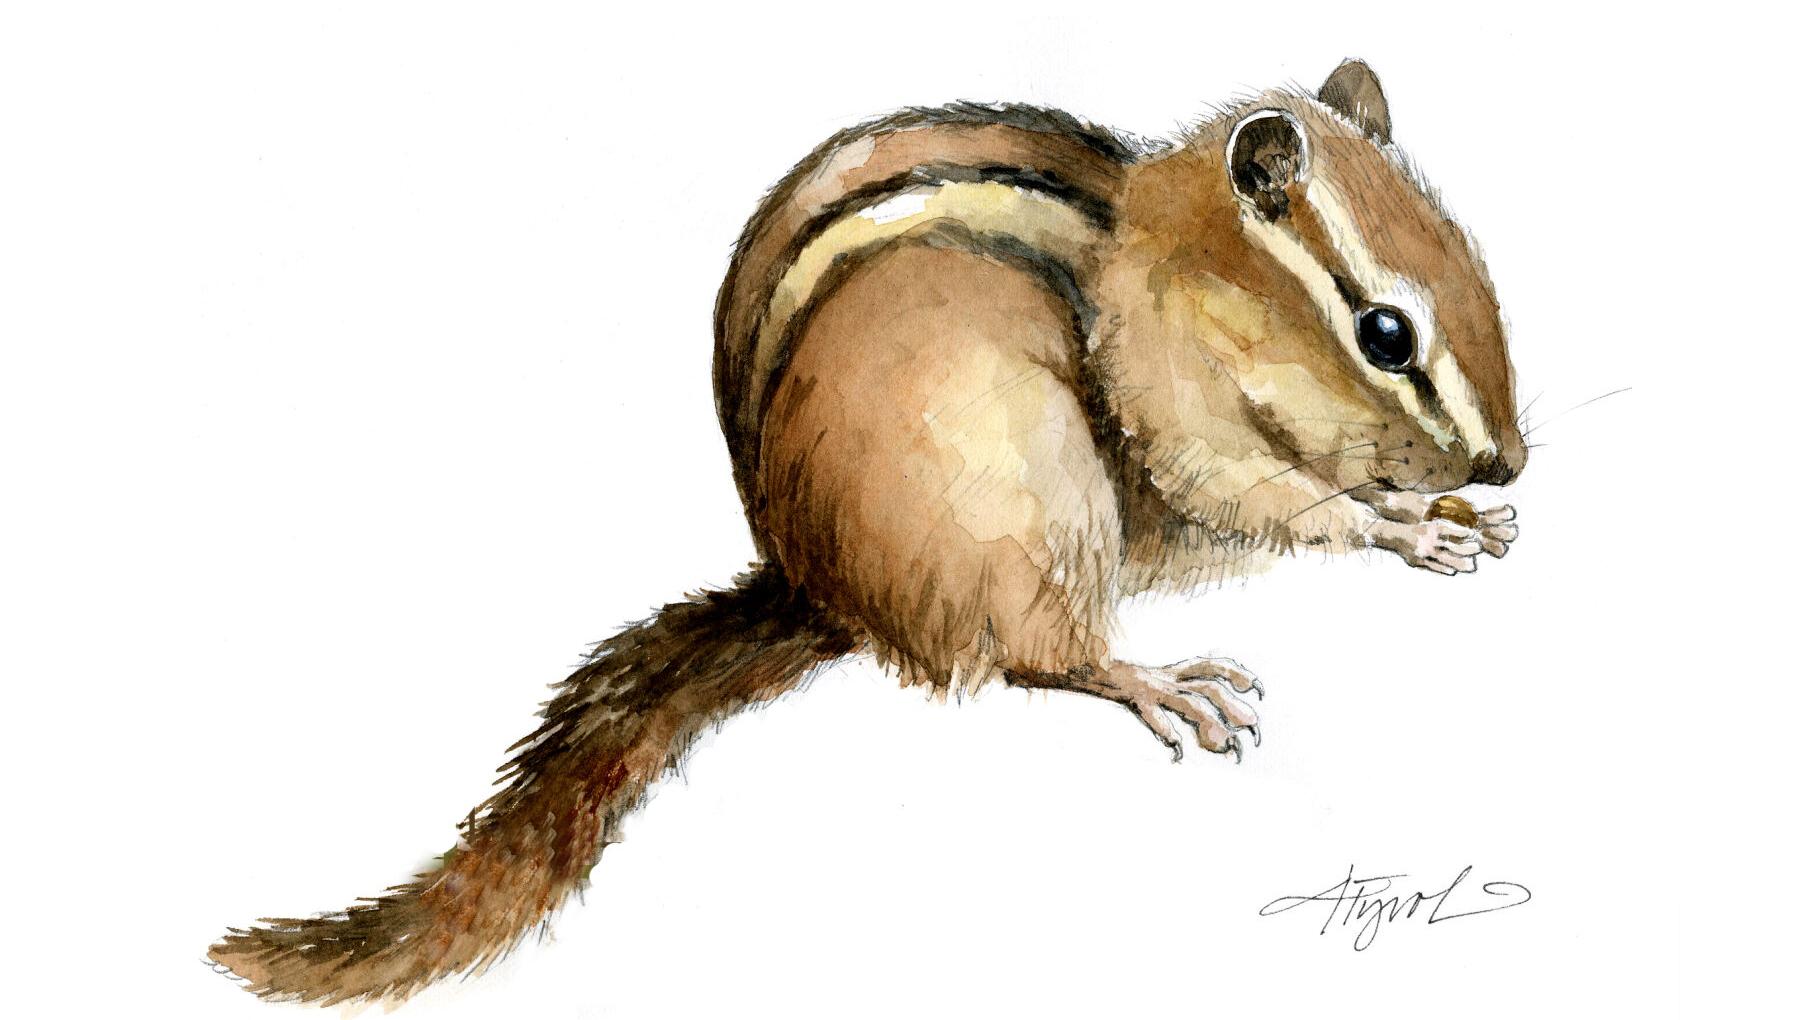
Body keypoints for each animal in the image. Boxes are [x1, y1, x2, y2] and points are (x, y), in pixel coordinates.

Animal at [210, 58, 1525, 1004]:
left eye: (1476, 266)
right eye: (1386, 333)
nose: (1506, 459)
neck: (1188, 274)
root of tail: (819, 586)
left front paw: (1454, 510)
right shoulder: (1177, 418)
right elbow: (1277, 500)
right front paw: (1410, 531)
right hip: (1031, 509)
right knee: (1041, 656)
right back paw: (1156, 681)